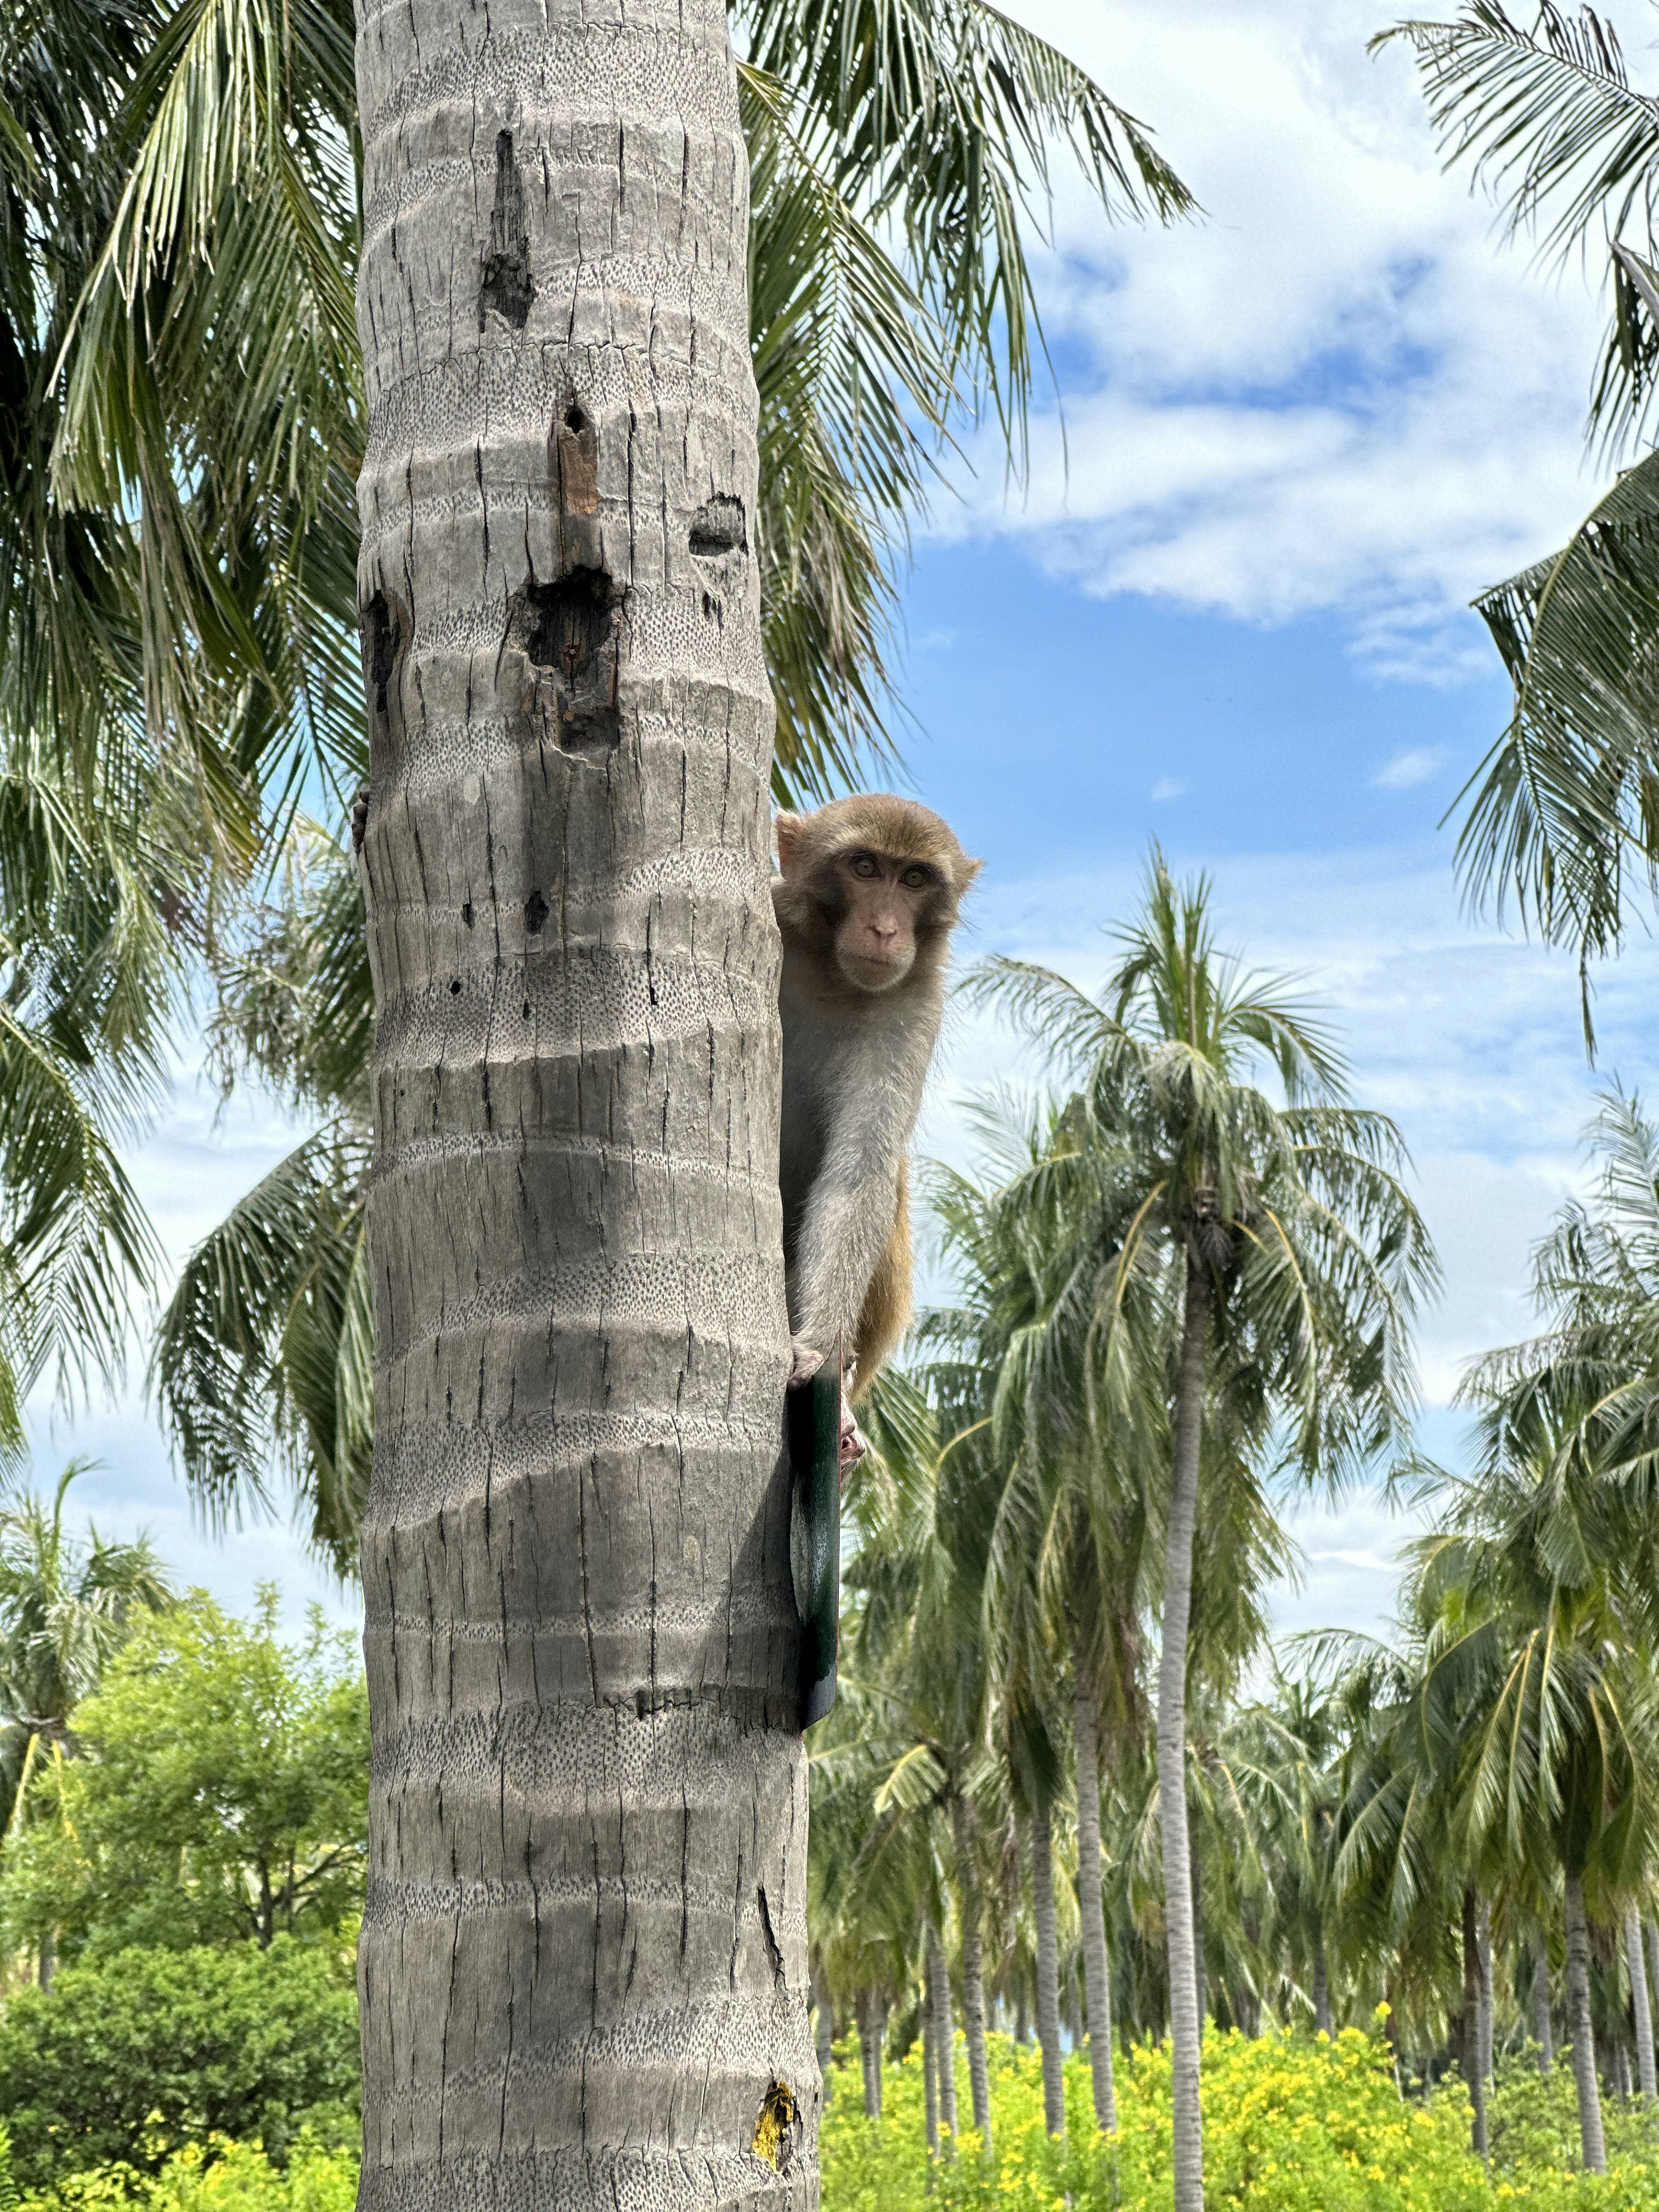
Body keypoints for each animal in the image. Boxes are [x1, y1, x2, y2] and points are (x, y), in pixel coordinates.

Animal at [773, 794, 981, 1463]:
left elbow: (862, 1169)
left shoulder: (915, 1000)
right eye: (865, 867)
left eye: (913, 878)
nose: (886, 930)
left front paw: (818, 1351)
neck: (831, 972)